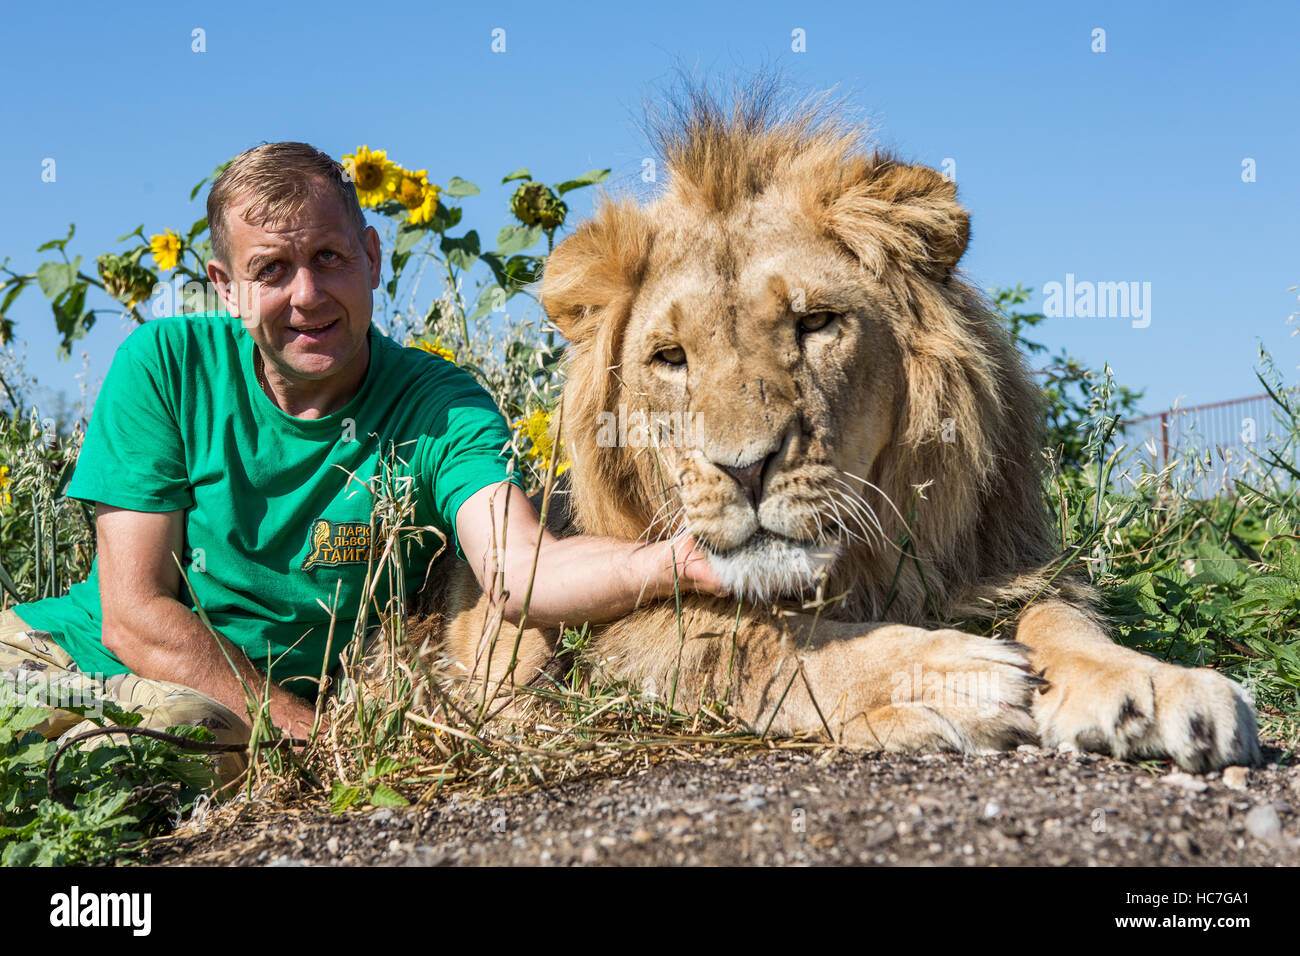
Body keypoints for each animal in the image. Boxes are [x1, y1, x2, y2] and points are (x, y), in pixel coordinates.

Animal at [425, 85, 1260, 773]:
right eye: (670, 358)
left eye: (816, 322)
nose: (744, 469)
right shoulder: (557, 647)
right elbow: (755, 641)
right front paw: (944, 679)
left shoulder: (1000, 565)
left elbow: (1062, 616)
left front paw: (1151, 686)